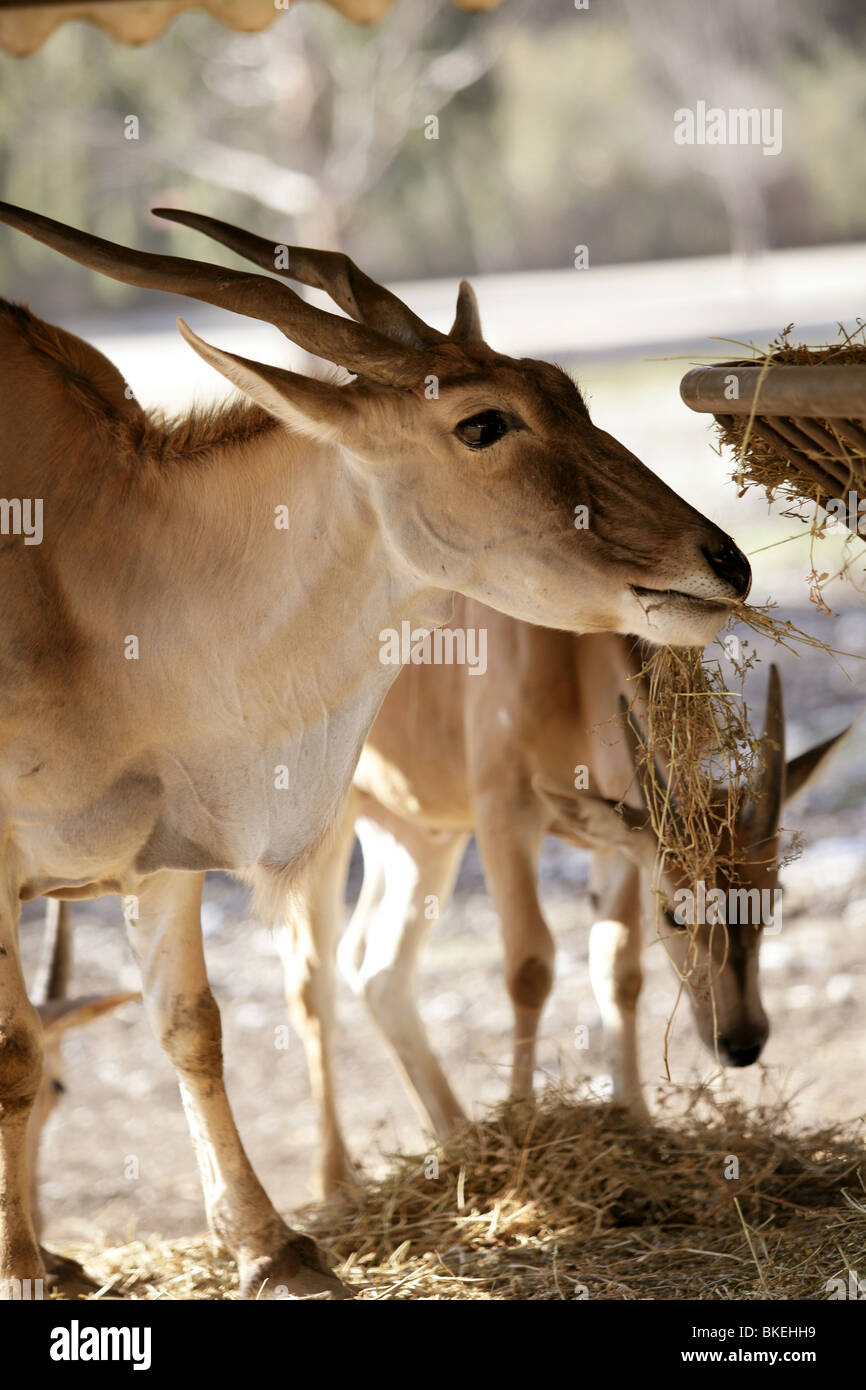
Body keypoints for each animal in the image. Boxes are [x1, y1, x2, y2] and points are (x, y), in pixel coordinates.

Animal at [0, 201, 751, 1298]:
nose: (724, 561)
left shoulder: (163, 856)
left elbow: (192, 1025)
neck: (85, 574)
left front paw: (271, 1247)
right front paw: (21, 1268)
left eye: (566, 391)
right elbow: (15, 1051)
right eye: (482, 422)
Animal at [277, 605, 848, 1197]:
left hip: (417, 832)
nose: (741, 1041)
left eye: (773, 901)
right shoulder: (505, 809)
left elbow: (618, 967)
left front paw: (634, 1117)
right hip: (324, 829)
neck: (564, 652)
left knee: (378, 965)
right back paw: (336, 1185)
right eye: (675, 914)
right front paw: (520, 1117)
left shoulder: (619, 843)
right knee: (310, 978)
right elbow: (530, 966)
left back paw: (457, 1138)